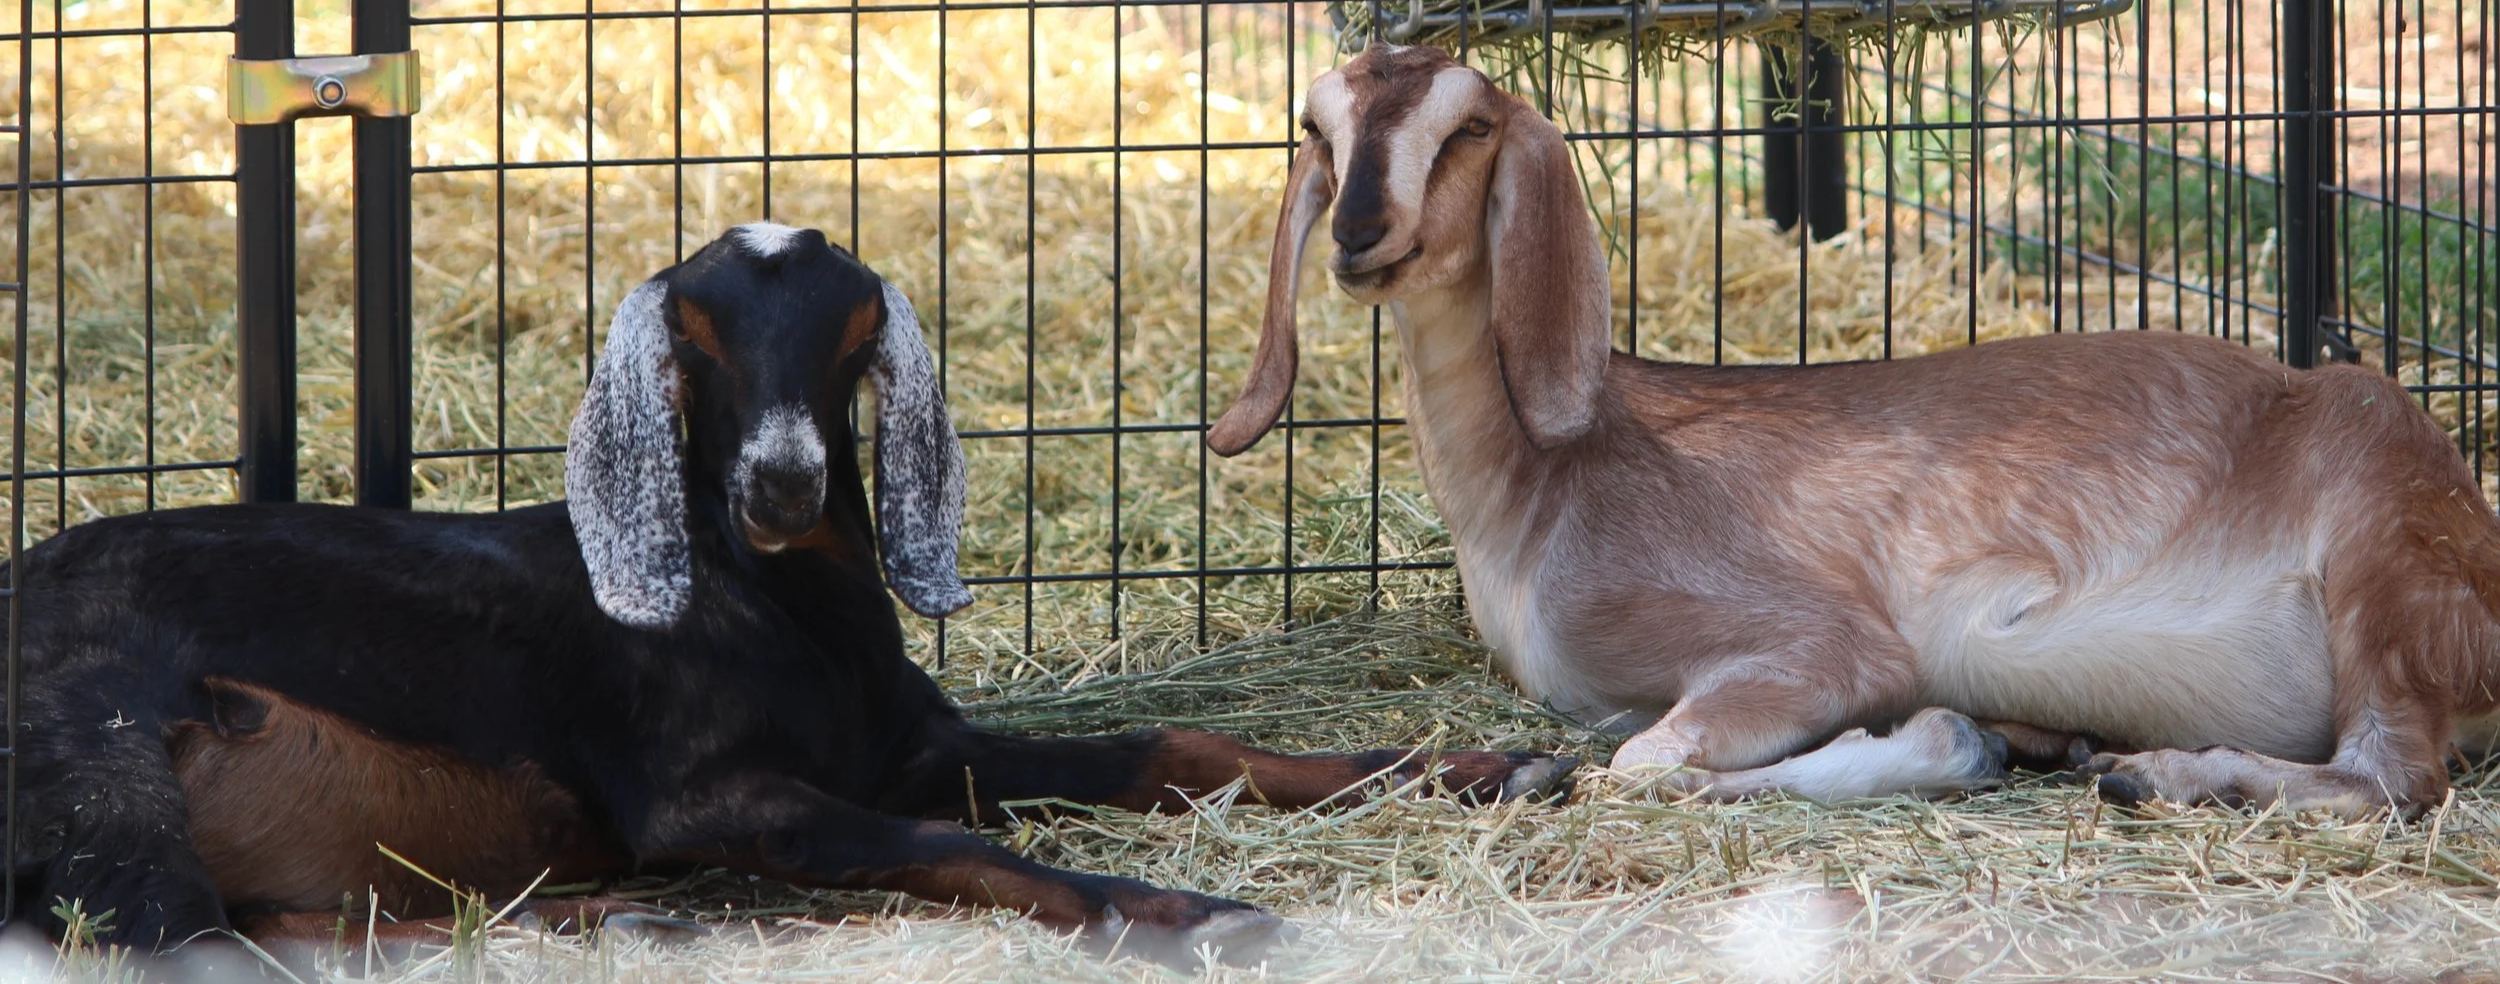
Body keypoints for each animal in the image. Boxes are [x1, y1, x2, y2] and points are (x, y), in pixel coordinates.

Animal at [2, 222, 1576, 968]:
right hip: (101, 753)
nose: (777, 484)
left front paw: (1483, 767)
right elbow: (963, 849)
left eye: (857, 333)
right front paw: (1190, 914)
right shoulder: (705, 794)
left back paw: (604, 926)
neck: (778, 614)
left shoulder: (915, 745)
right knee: (164, 937)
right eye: (690, 343)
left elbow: (1177, 745)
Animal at [1208, 43, 2500, 818]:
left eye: (1469, 129)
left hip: (2381, 556)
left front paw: (1953, 742)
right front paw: (1995, 740)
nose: (1360, 231)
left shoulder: (1812, 641)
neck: (1541, 487)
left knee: (2394, 773)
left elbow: (1638, 768)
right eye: (1317, 129)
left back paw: (2149, 769)